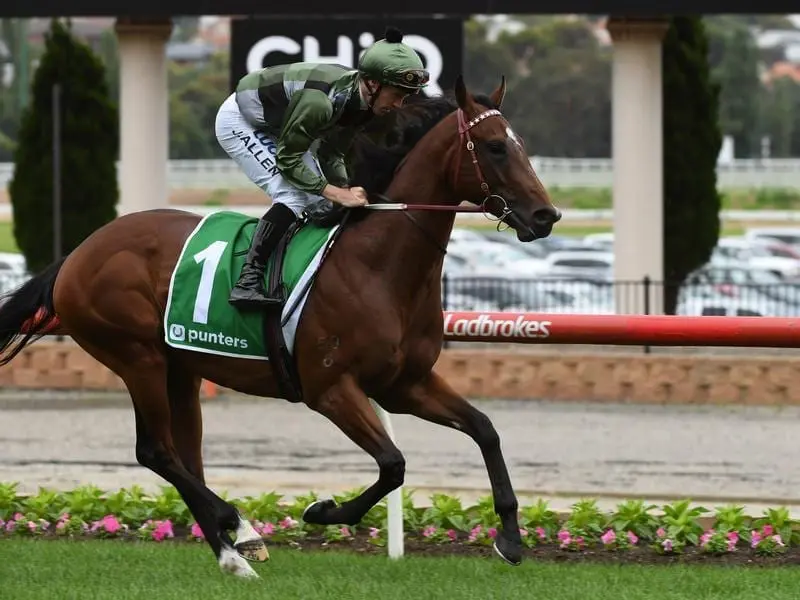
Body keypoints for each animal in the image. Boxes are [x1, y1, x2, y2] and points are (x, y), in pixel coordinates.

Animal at [0, 75, 560, 578]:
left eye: (522, 146)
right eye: (494, 147)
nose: (546, 215)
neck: (378, 263)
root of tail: (76, 254)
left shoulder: (404, 384)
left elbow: (484, 429)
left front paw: (510, 538)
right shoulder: (330, 388)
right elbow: (393, 464)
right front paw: (323, 511)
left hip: (180, 367)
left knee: (184, 455)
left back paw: (232, 554)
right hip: (137, 357)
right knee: (155, 450)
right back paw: (239, 525)